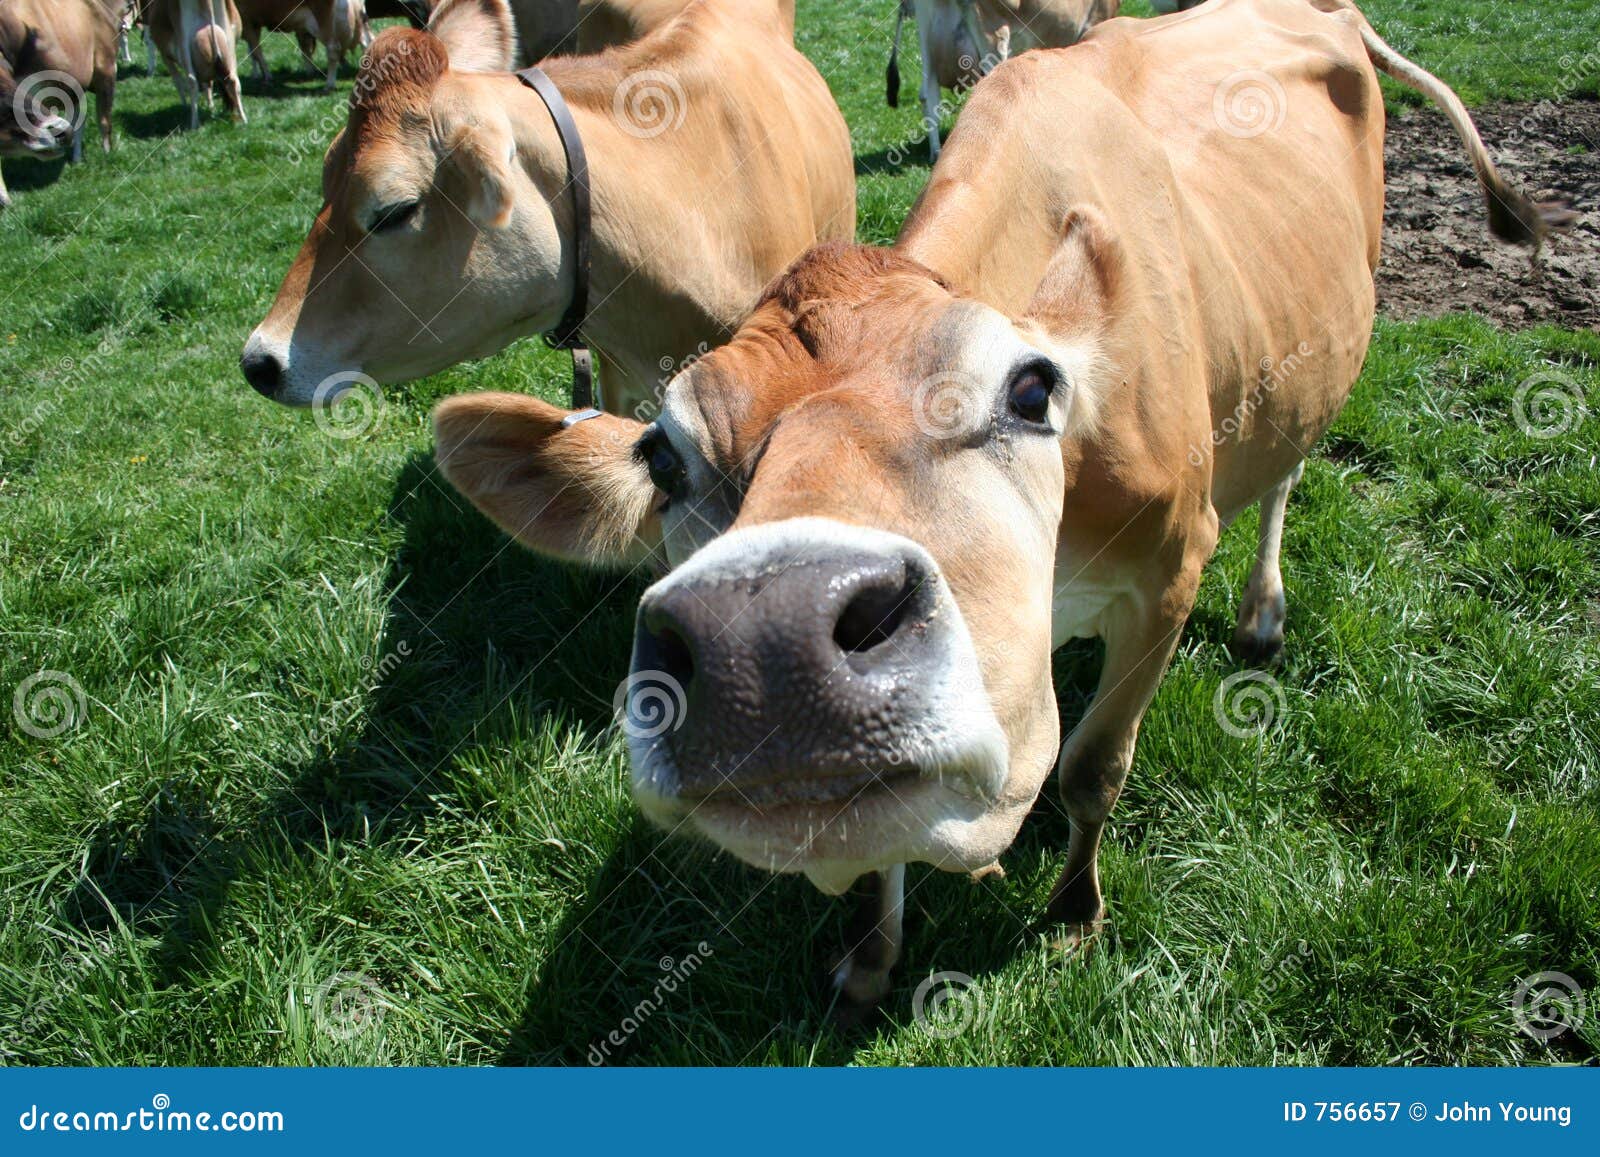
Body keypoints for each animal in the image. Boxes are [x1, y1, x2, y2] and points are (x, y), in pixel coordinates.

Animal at [0, 0, 121, 209]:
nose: (60, 133)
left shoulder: (75, 86)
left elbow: (78, 121)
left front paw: (77, 159)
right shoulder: (107, 67)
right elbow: (104, 120)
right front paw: (107, 154)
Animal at [234, 0, 366, 89]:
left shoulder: (247, 20)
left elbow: (256, 51)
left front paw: (267, 76)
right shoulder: (253, 23)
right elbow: (252, 51)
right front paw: (256, 75)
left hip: (324, 19)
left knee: (333, 49)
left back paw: (329, 84)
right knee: (366, 42)